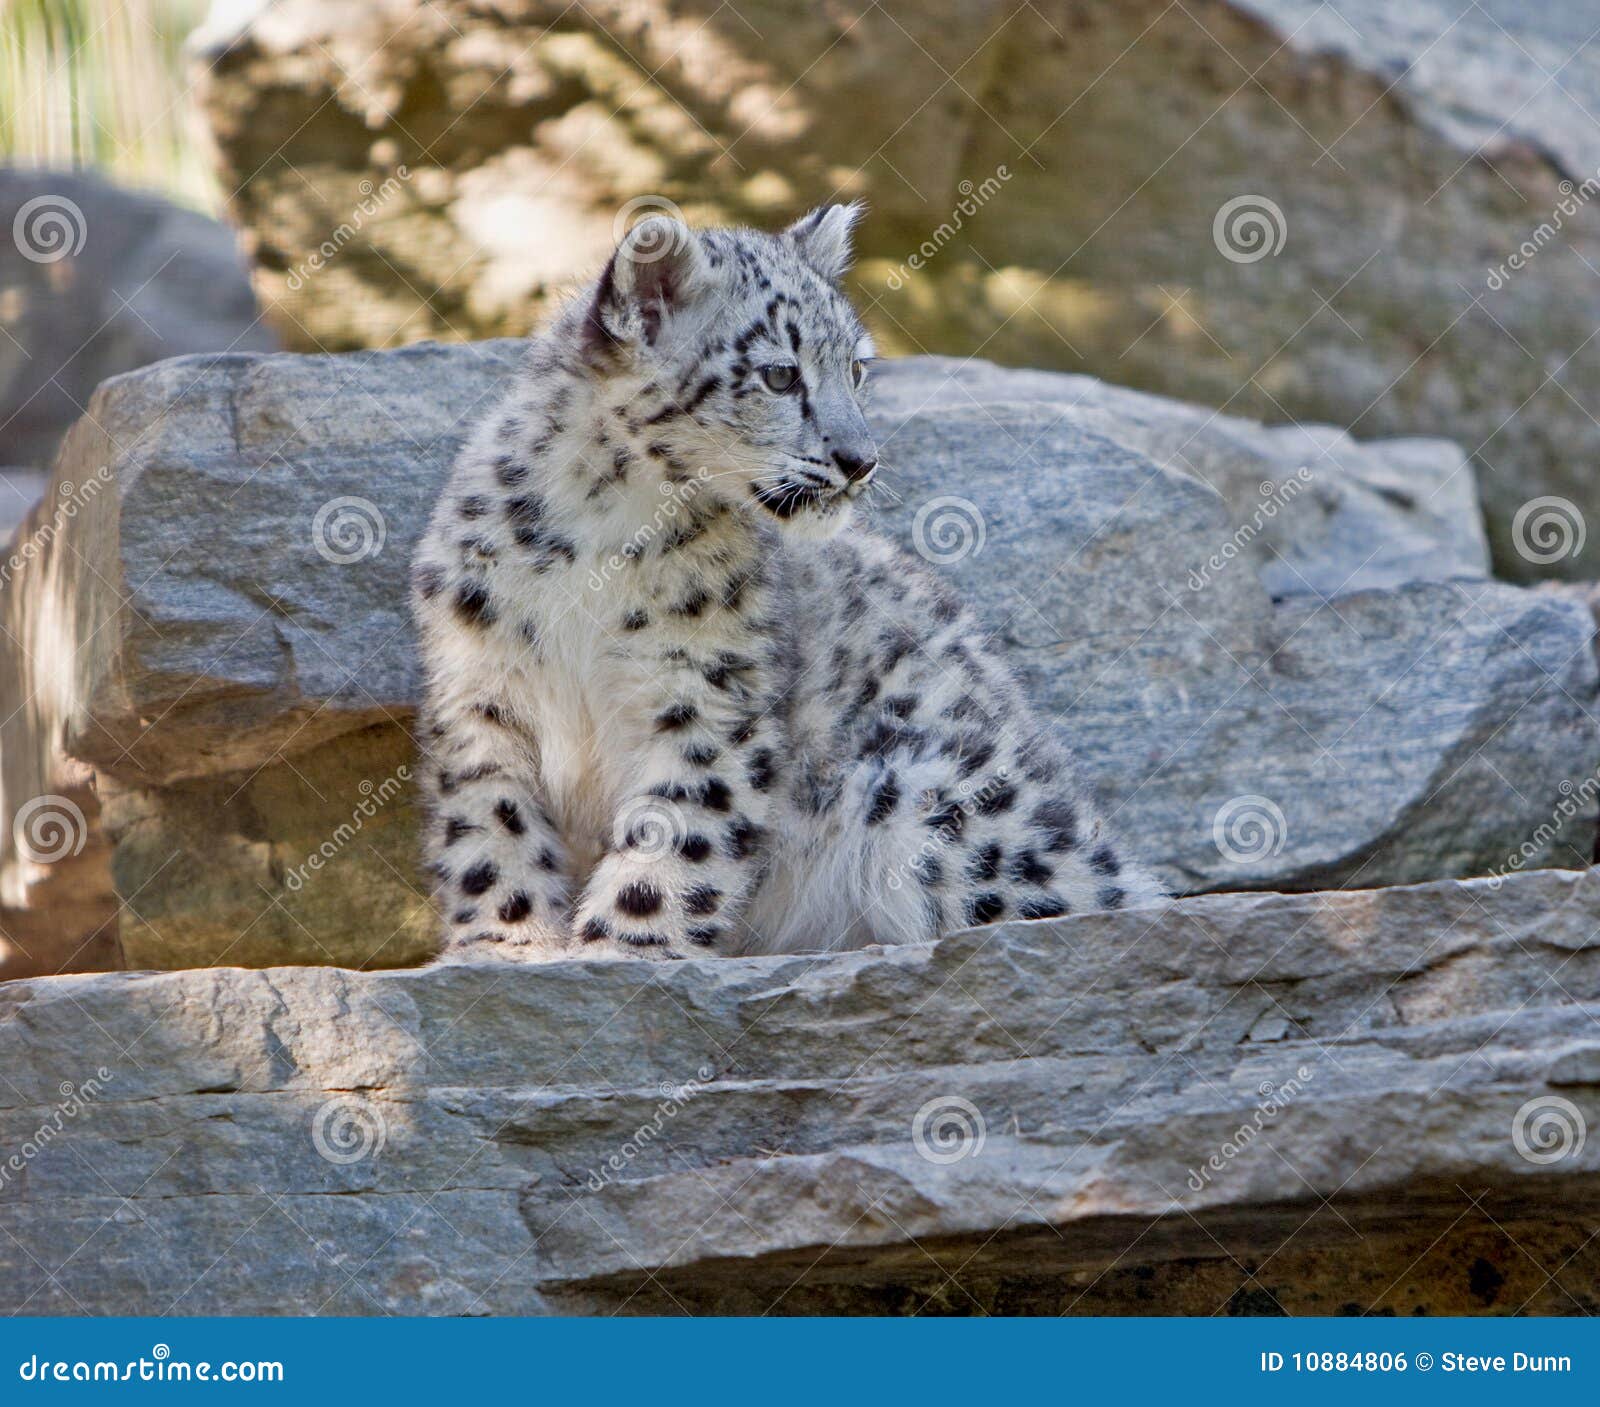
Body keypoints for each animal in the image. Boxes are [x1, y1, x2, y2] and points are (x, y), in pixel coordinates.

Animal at [409, 203, 1165, 962]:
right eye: (779, 376)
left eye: (856, 369)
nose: (861, 459)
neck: (603, 523)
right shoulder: (481, 688)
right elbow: (492, 825)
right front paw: (508, 945)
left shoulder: (711, 698)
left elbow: (675, 835)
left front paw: (623, 948)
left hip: (929, 794)